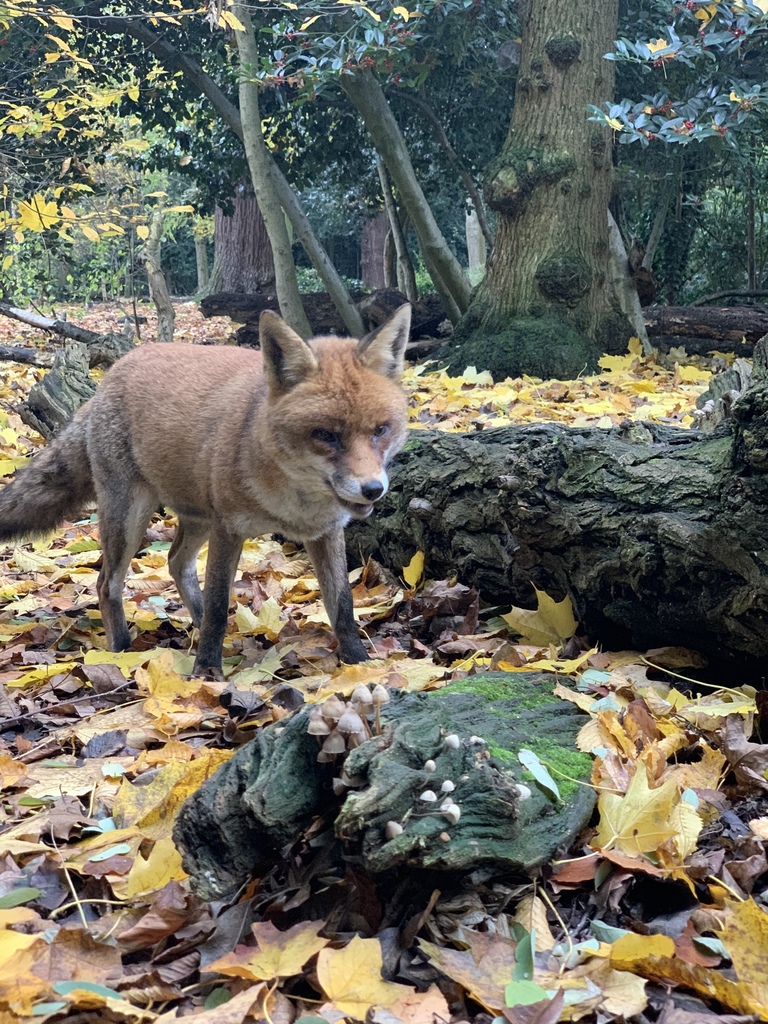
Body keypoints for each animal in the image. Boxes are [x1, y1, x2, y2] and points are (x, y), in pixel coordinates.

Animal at [0, 305, 411, 679]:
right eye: (326, 435)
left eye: (381, 430)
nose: (373, 490)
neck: (292, 506)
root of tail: (108, 378)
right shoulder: (230, 528)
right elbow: (216, 604)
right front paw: (207, 671)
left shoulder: (326, 532)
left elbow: (342, 606)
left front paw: (359, 663)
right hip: (130, 517)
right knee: (107, 584)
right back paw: (121, 651)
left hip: (197, 517)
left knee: (175, 562)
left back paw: (194, 623)